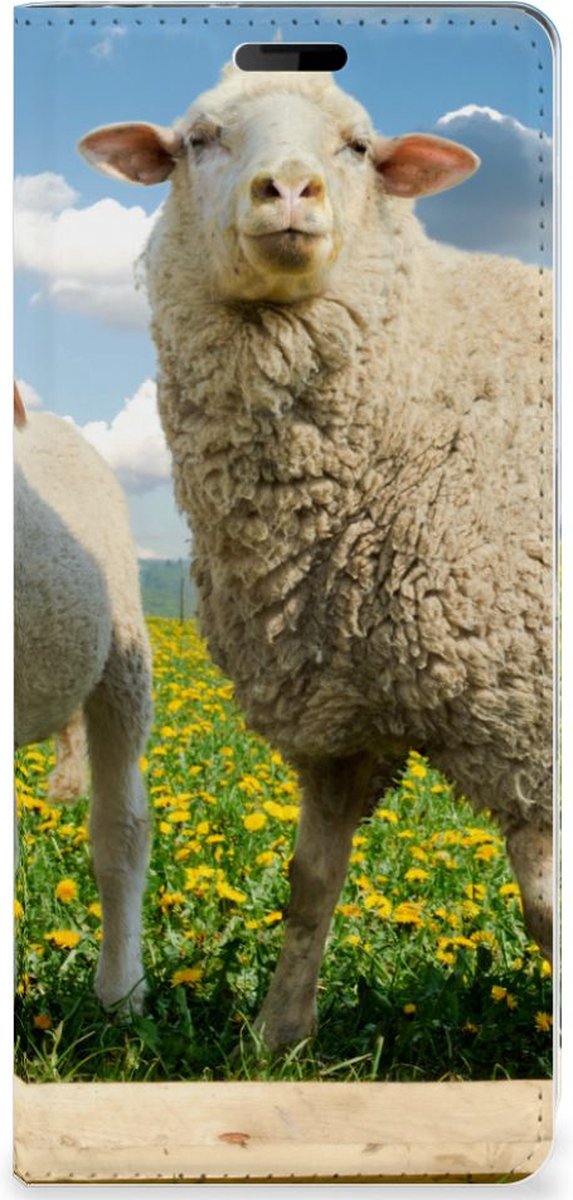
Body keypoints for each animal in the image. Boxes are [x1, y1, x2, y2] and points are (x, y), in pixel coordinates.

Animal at [80, 65, 553, 1050]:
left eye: (358, 147)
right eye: (199, 139)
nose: (290, 190)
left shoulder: (525, 717)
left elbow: (544, 910)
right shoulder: (332, 710)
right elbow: (309, 886)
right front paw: (278, 1036)